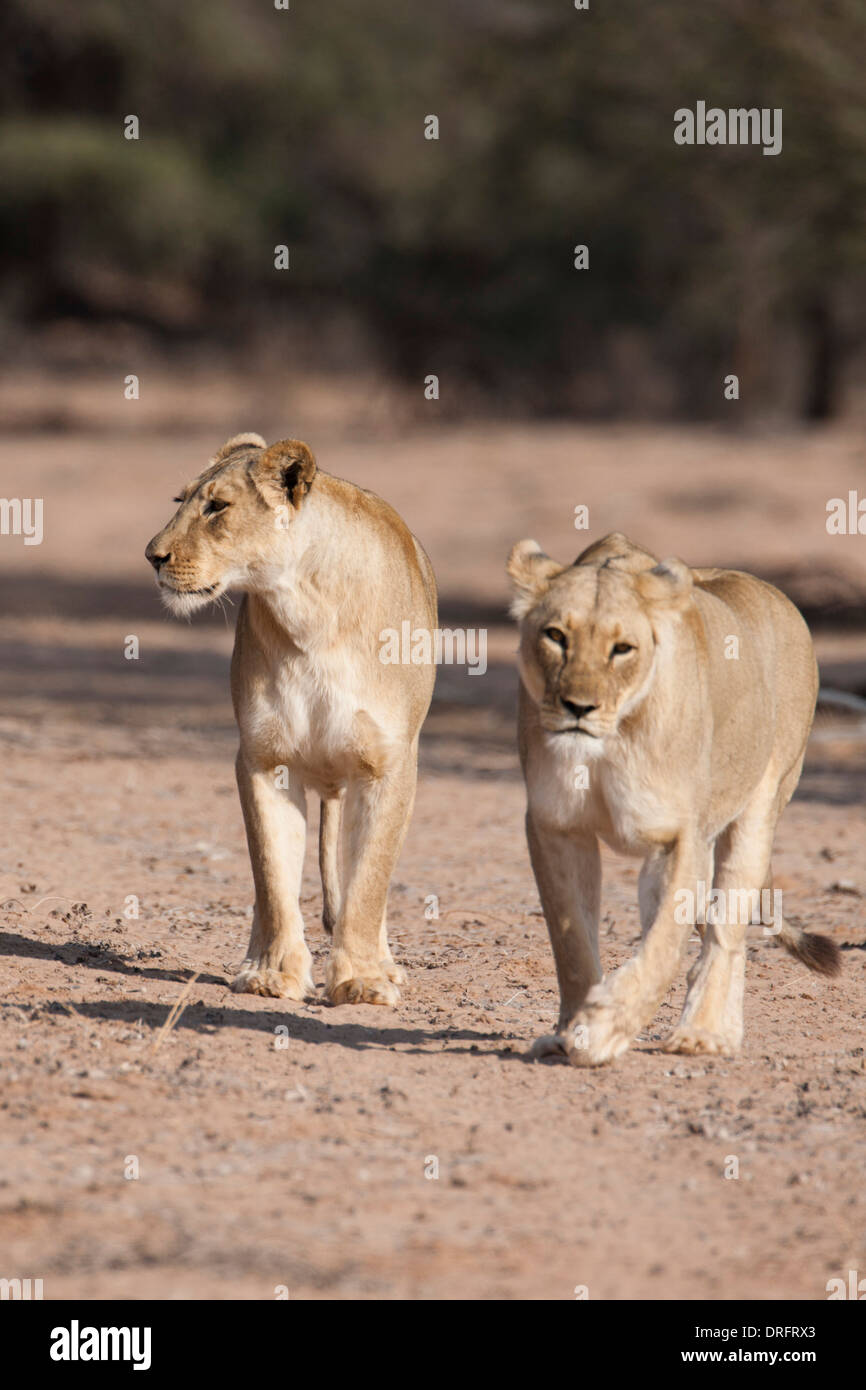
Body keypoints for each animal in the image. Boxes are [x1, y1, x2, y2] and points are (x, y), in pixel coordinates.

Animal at [145, 433, 437, 1005]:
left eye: (217, 507)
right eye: (180, 501)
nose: (152, 556)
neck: (309, 612)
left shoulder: (389, 765)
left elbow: (368, 883)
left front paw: (363, 979)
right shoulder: (262, 758)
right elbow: (273, 876)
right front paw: (273, 975)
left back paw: (385, 965)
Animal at [506, 531, 840, 1066]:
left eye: (623, 649)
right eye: (556, 636)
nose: (578, 708)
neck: (608, 742)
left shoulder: (680, 837)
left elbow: (664, 948)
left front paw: (603, 1027)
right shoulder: (555, 825)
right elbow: (571, 940)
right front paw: (570, 1031)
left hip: (759, 810)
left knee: (725, 934)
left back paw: (703, 1033)